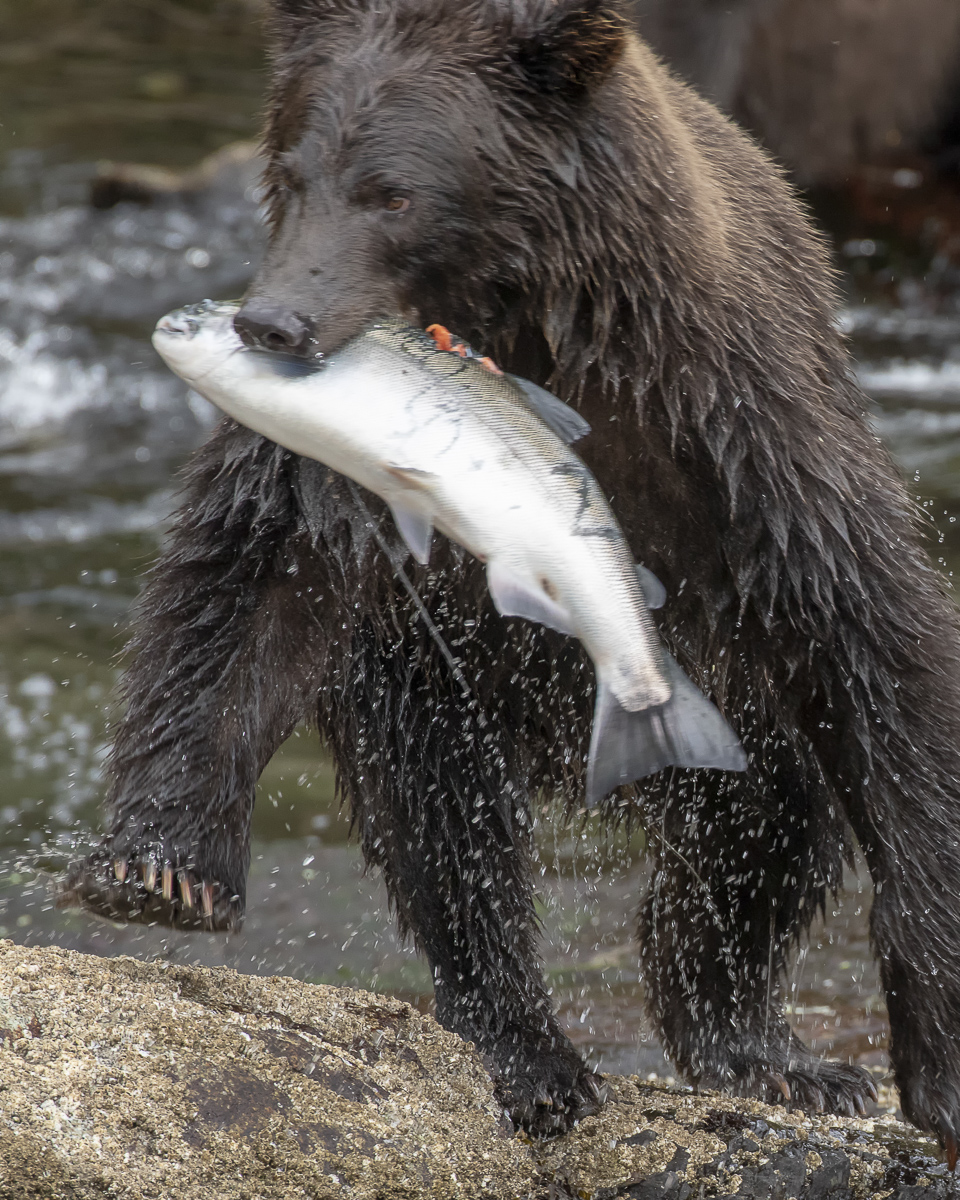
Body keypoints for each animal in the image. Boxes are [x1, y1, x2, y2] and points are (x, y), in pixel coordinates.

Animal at [61, 0, 960, 1154]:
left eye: (393, 191)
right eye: (294, 172)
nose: (274, 322)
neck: (526, 320)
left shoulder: (742, 441)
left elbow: (884, 660)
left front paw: (935, 1065)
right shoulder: (326, 473)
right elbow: (240, 593)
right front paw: (159, 870)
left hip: (732, 698)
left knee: (769, 828)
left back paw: (774, 1057)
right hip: (429, 673)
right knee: (452, 826)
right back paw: (534, 1059)